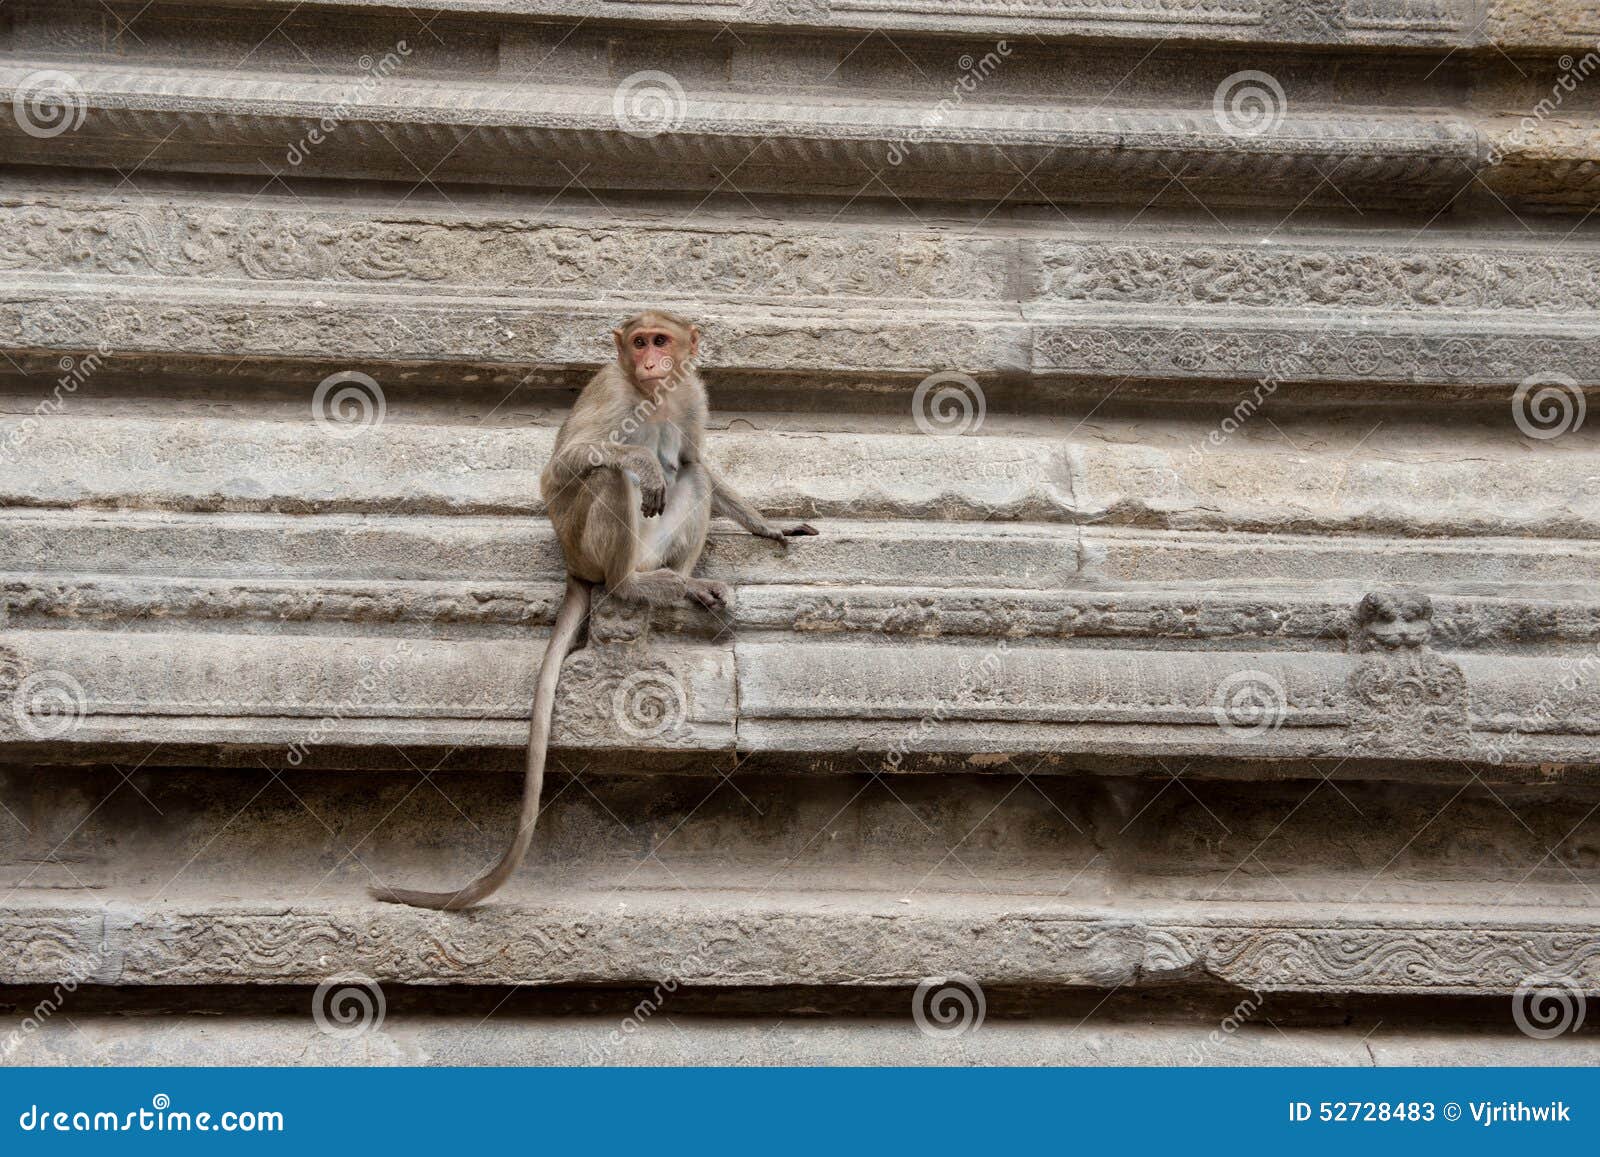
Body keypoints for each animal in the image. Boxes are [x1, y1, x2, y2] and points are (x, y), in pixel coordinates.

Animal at [369, 310, 816, 910]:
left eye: (662, 341)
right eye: (639, 342)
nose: (651, 362)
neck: (653, 396)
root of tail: (572, 563)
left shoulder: (692, 396)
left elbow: (697, 461)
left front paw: (769, 525)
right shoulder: (611, 392)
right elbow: (561, 468)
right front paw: (641, 462)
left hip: (653, 544)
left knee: (692, 474)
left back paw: (681, 583)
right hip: (588, 543)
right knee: (605, 476)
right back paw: (630, 581)